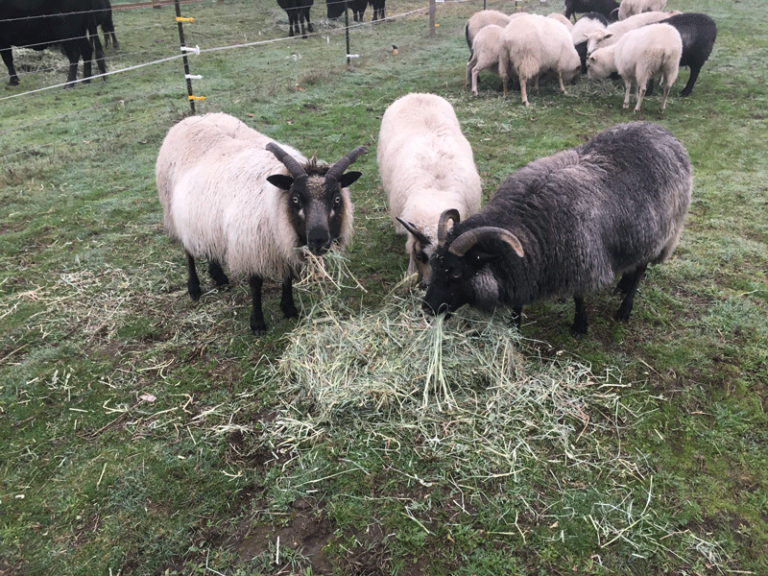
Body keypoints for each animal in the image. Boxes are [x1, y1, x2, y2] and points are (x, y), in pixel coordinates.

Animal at [156, 113, 367, 335]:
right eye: (295, 198)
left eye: (336, 198)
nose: (319, 240)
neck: (275, 203)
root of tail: (192, 118)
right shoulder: (251, 246)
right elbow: (256, 285)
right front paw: (257, 322)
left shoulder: (282, 244)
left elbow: (287, 277)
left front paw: (289, 308)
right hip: (175, 212)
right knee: (188, 251)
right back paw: (194, 287)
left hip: (205, 221)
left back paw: (219, 276)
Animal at [421, 122, 692, 337]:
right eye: (434, 264)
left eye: (457, 272)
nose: (427, 309)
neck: (525, 220)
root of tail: (661, 131)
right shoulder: (526, 266)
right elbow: (520, 299)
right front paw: (514, 326)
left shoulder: (582, 260)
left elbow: (579, 297)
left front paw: (580, 326)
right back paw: (622, 284)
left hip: (662, 230)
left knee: (641, 269)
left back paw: (625, 308)